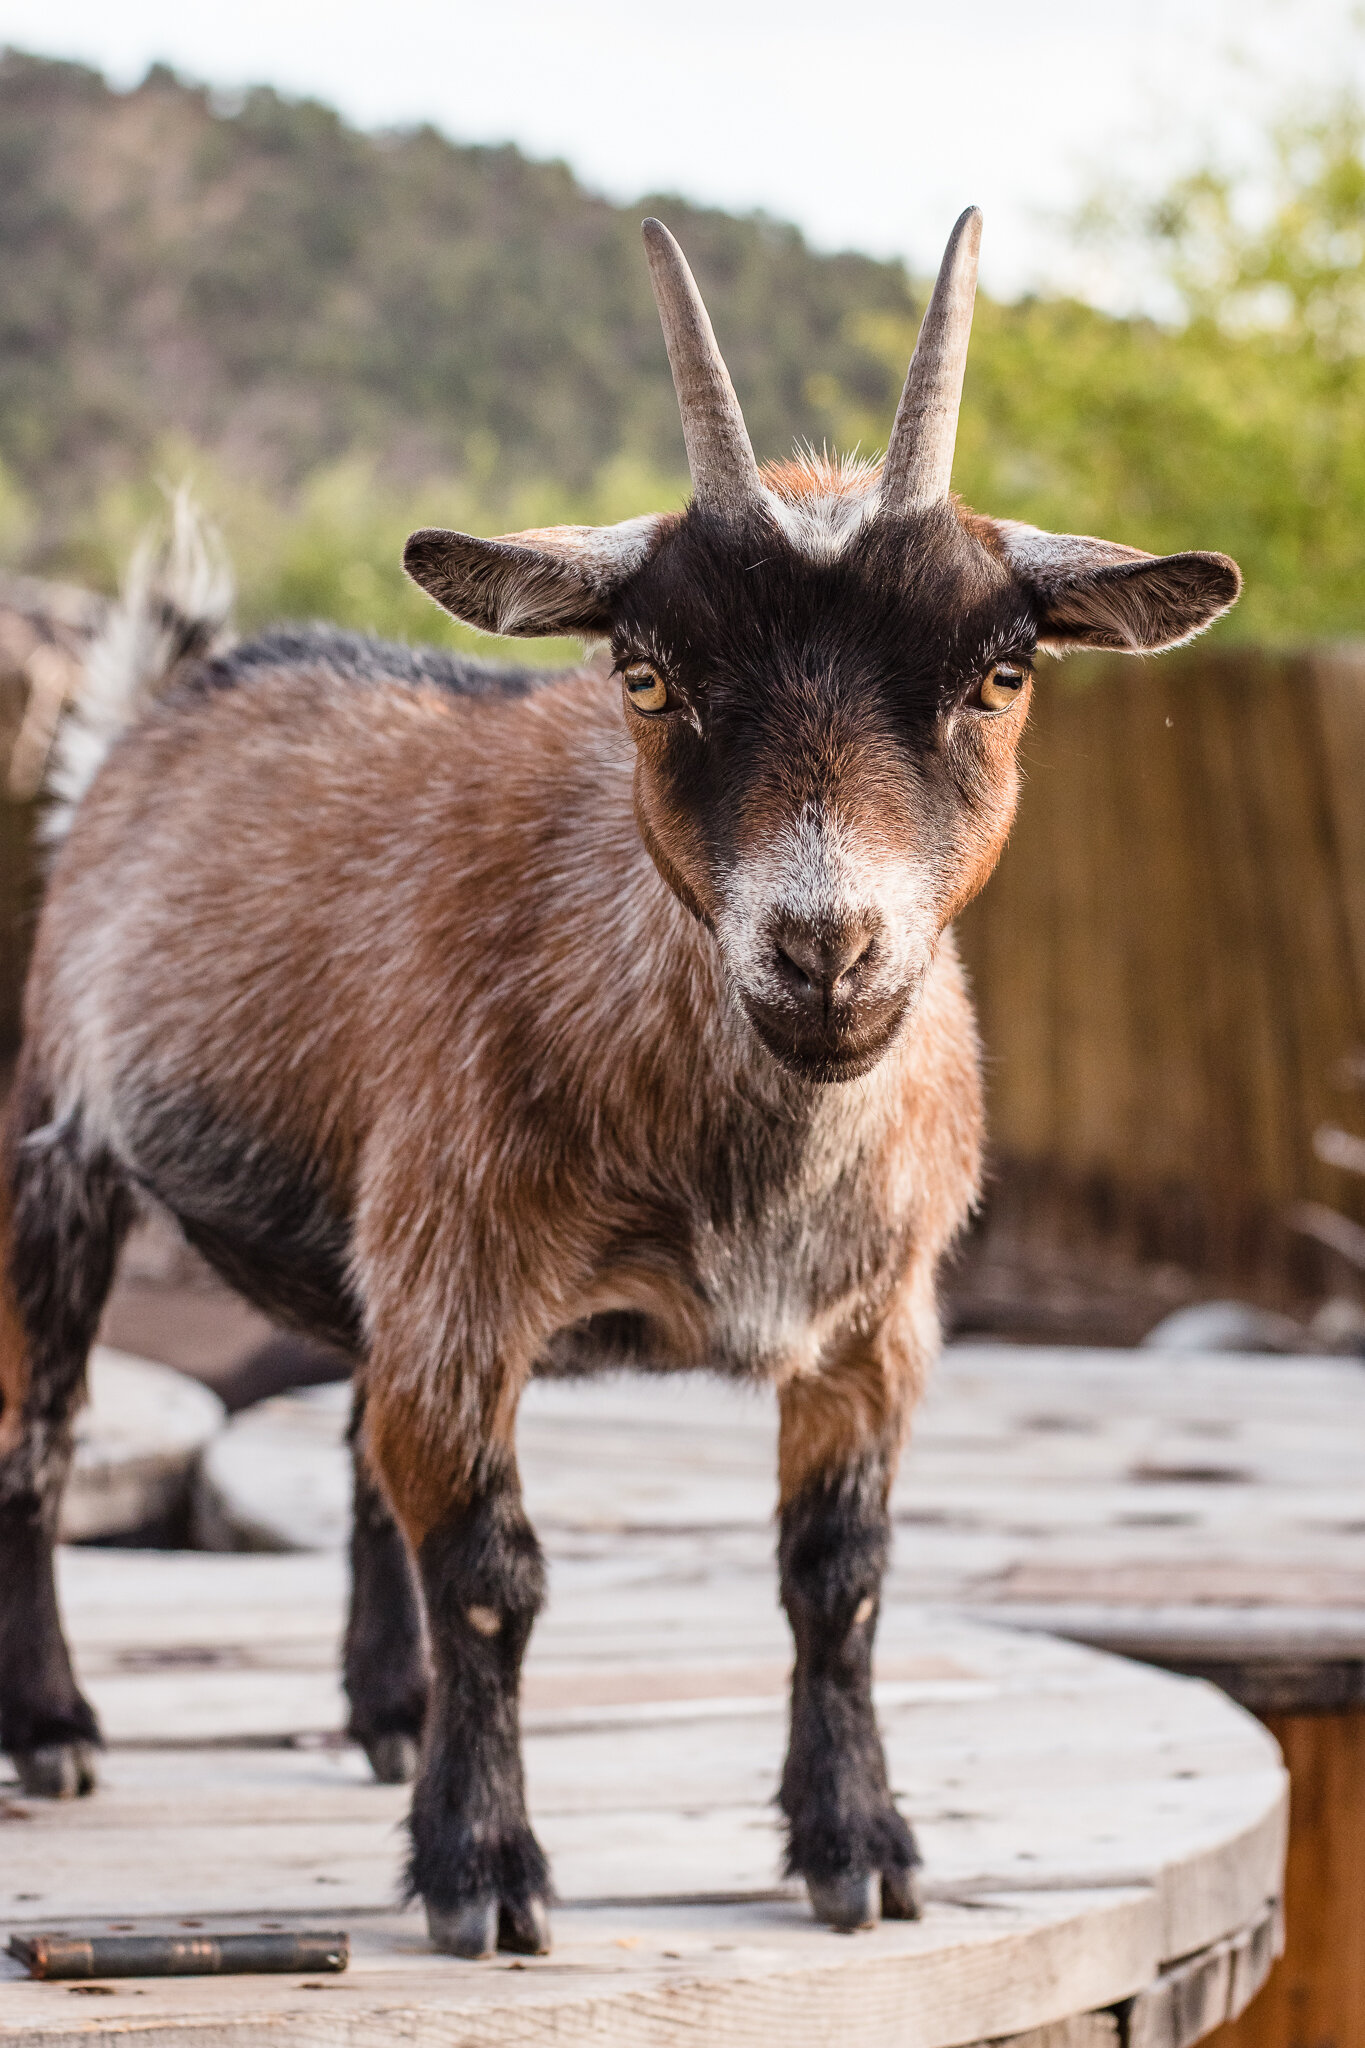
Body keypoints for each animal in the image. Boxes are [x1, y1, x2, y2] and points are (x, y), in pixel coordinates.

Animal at [0, 211, 1240, 1957]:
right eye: (645, 673)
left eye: (1001, 674)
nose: (825, 951)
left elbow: (839, 1577)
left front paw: (859, 1846)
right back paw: (55, 1727)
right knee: (41, 1439)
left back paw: (388, 1712)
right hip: (66, 1145)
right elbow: (492, 1575)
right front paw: (483, 1873)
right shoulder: (465, 1284)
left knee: (358, 1448)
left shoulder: (877, 1322)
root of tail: (166, 700)